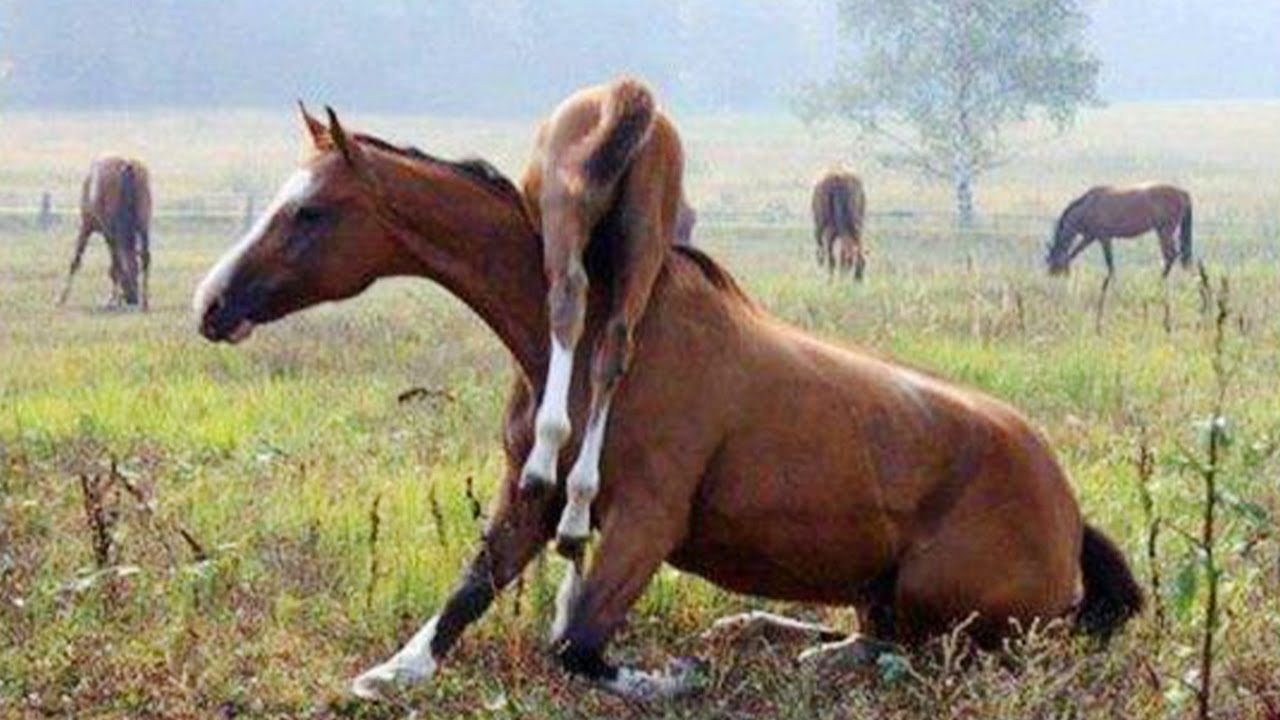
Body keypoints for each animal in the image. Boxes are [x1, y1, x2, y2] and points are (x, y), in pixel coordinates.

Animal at [58, 156, 152, 310]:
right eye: (134, 272)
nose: (133, 299)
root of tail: (127, 167)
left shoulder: (88, 226)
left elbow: (76, 260)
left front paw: (61, 298)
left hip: (110, 230)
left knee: (118, 261)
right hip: (143, 223)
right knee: (146, 257)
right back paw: (145, 302)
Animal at [516, 77, 686, 555]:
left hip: (564, 217)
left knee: (569, 298)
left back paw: (542, 462)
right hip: (644, 243)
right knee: (615, 345)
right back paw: (578, 506)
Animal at [1046, 184, 1193, 279]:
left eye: (1051, 260)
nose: (1052, 275)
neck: (1089, 206)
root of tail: (1182, 193)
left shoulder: (1104, 238)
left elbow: (1110, 262)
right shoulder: (1089, 237)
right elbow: (1074, 253)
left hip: (1165, 231)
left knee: (1171, 255)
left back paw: (1161, 279)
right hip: (1162, 231)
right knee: (1171, 255)